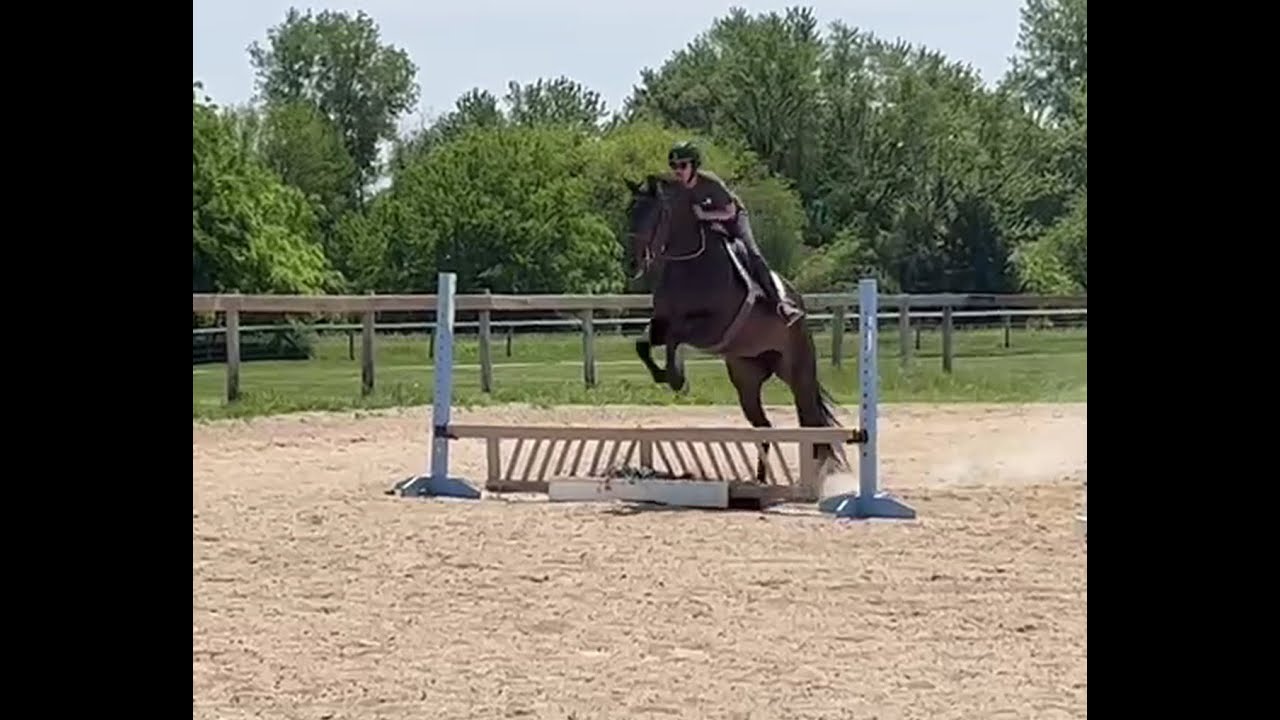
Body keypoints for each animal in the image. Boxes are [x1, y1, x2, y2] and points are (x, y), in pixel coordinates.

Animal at [623, 173, 850, 485]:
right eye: (628, 213)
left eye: (653, 215)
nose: (631, 264)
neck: (690, 264)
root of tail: (800, 307)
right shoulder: (662, 320)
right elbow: (644, 344)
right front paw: (665, 375)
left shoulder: (711, 327)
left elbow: (674, 337)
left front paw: (676, 378)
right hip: (746, 377)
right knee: (764, 426)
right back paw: (761, 480)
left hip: (798, 371)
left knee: (811, 420)